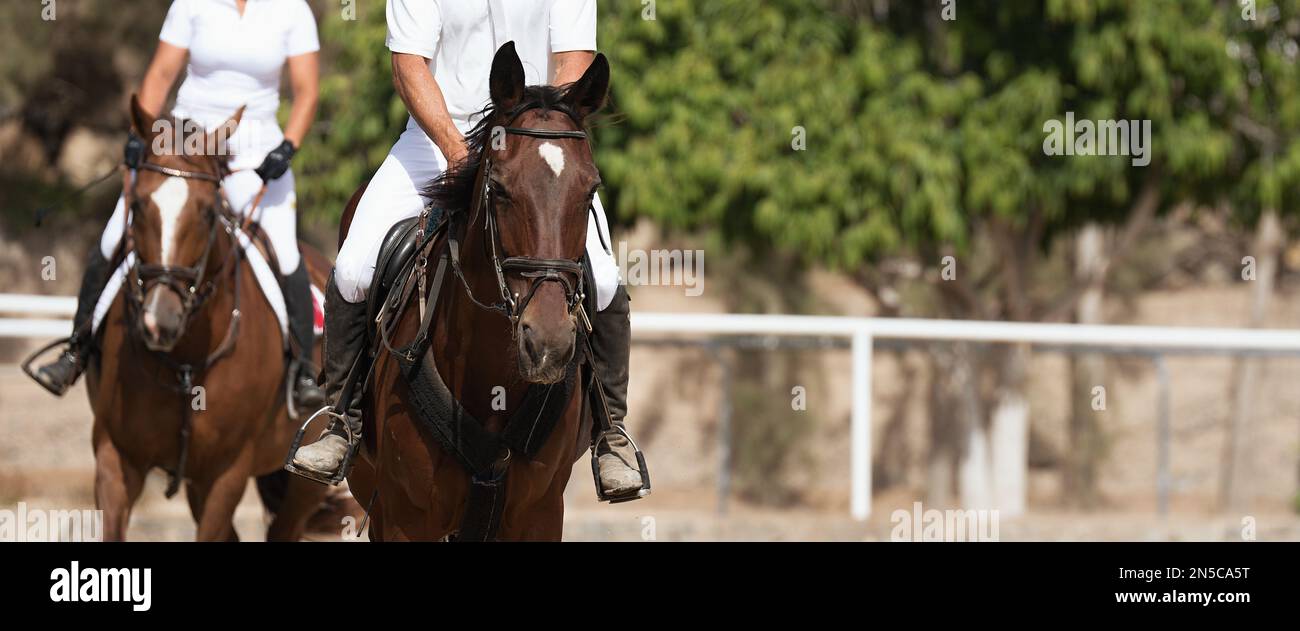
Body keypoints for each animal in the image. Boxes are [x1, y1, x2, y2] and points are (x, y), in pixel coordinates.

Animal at [83, 96, 336, 541]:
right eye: (137, 206)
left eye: (205, 213)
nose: (159, 321)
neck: (185, 358)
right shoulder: (116, 457)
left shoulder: (227, 473)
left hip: (304, 478)